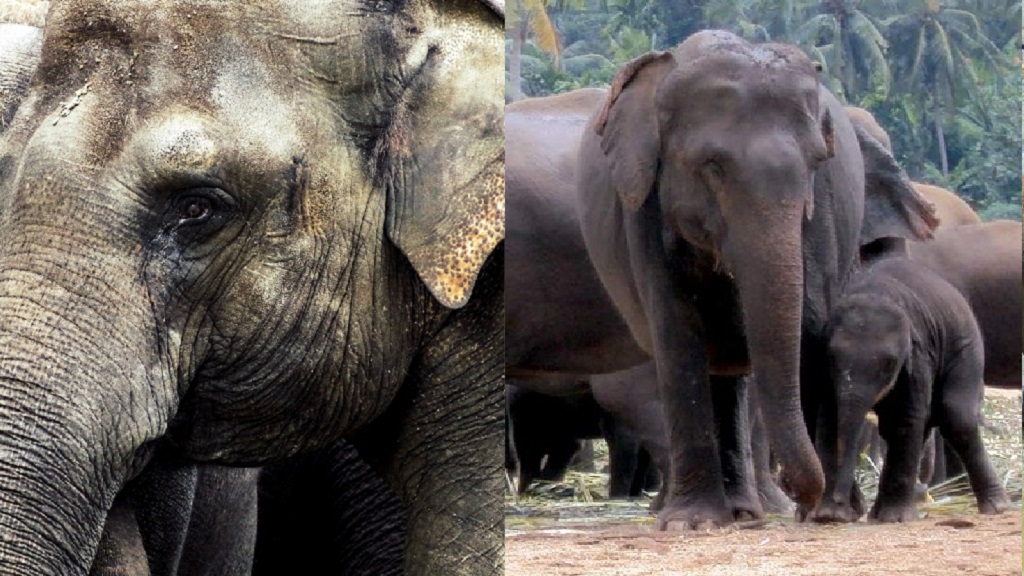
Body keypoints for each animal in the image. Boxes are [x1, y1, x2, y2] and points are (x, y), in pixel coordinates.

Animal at [574, 30, 936, 528]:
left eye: (816, 160)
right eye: (712, 166)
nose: (801, 494)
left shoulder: (821, 210)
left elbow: (811, 328)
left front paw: (828, 513)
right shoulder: (644, 206)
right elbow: (677, 332)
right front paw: (692, 522)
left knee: (732, 371)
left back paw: (747, 510)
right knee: (717, 367)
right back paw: (732, 510)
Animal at [813, 256, 1009, 523]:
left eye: (889, 364)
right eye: (833, 357)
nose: (841, 503)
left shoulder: (917, 358)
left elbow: (905, 418)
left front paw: (896, 519)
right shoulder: (823, 366)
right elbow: (829, 419)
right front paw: (828, 515)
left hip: (967, 348)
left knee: (955, 415)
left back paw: (997, 507)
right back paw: (877, 513)